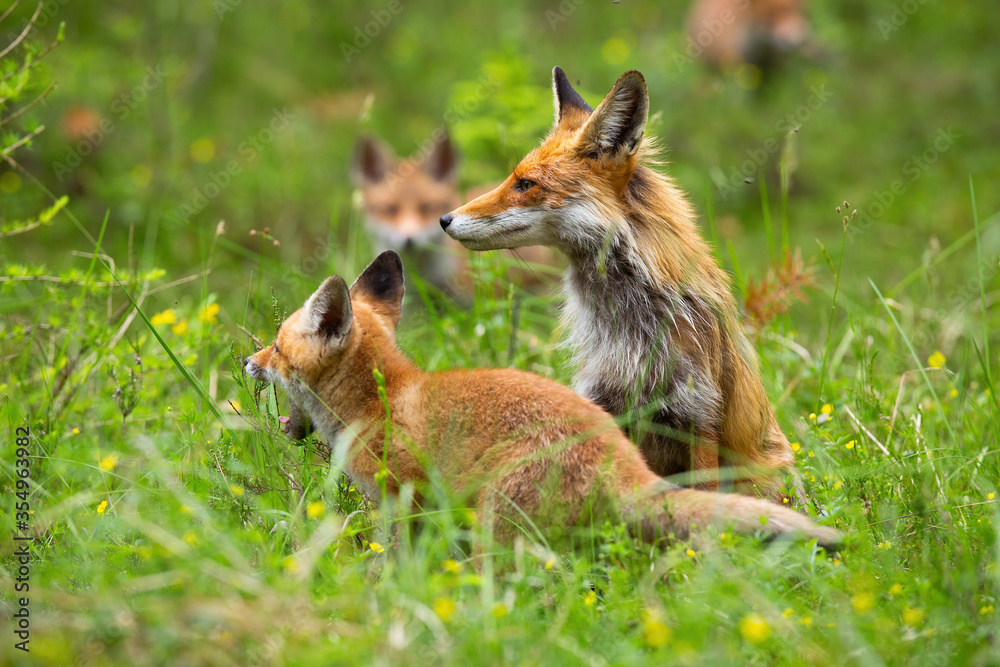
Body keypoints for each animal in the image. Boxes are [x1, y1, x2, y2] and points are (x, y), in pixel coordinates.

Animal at [244, 250, 840, 548]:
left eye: (275, 345)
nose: (247, 362)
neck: (376, 405)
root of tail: (626, 468)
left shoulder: (405, 496)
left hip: (498, 525)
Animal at [440, 67, 800, 502]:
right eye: (515, 179)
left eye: (525, 184)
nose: (444, 219)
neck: (631, 332)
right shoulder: (605, 400)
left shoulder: (699, 413)